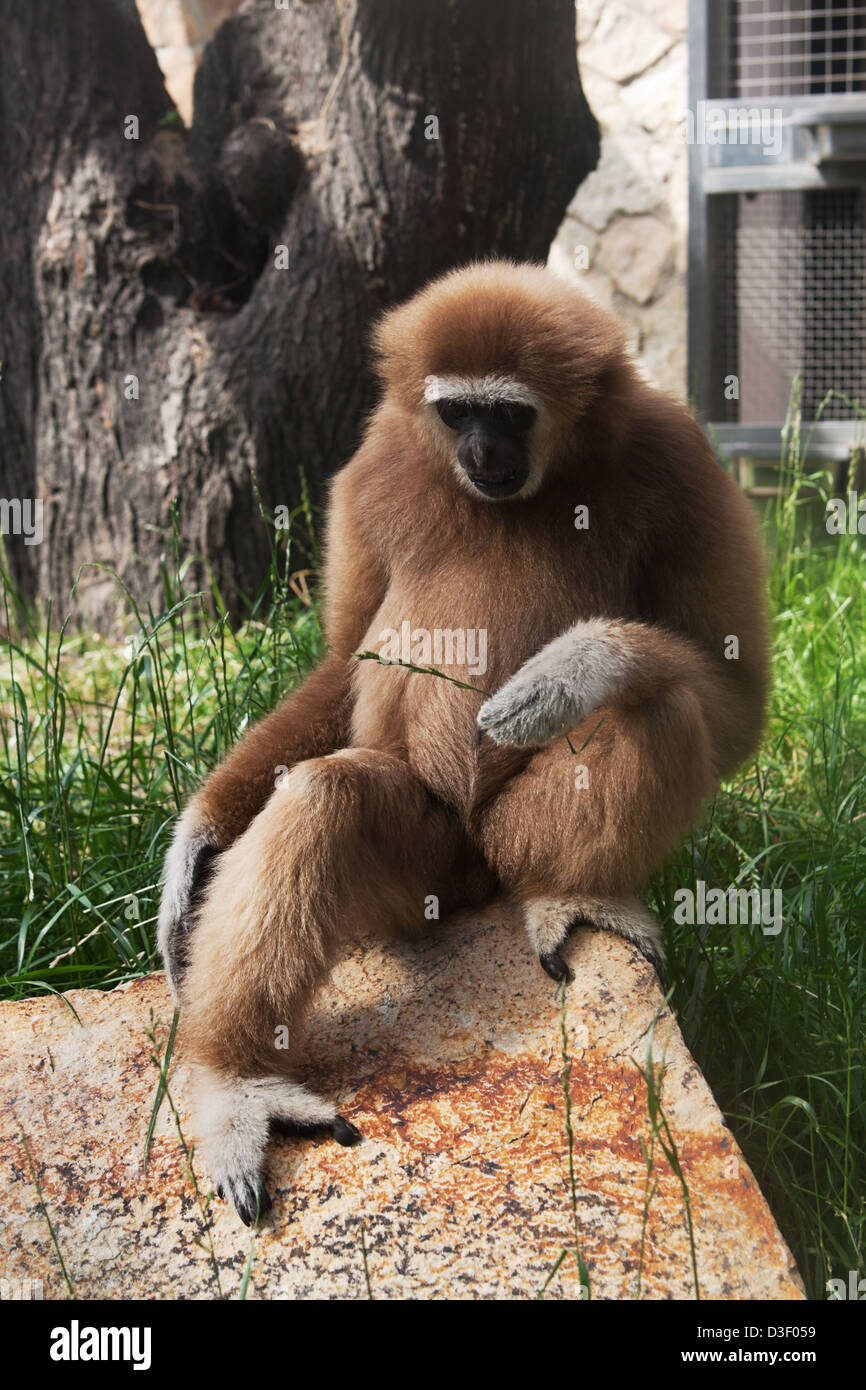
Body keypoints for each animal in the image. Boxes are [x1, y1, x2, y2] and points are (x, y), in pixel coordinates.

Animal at [157, 260, 769, 1225]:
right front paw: (199, 840)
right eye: (455, 412)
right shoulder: (372, 463)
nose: (481, 452)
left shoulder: (681, 457)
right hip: (424, 875)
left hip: (507, 841)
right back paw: (236, 1081)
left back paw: (570, 890)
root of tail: (477, 871)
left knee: (660, 707)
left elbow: (736, 694)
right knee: (330, 794)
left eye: (509, 414)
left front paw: (579, 667)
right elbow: (341, 660)